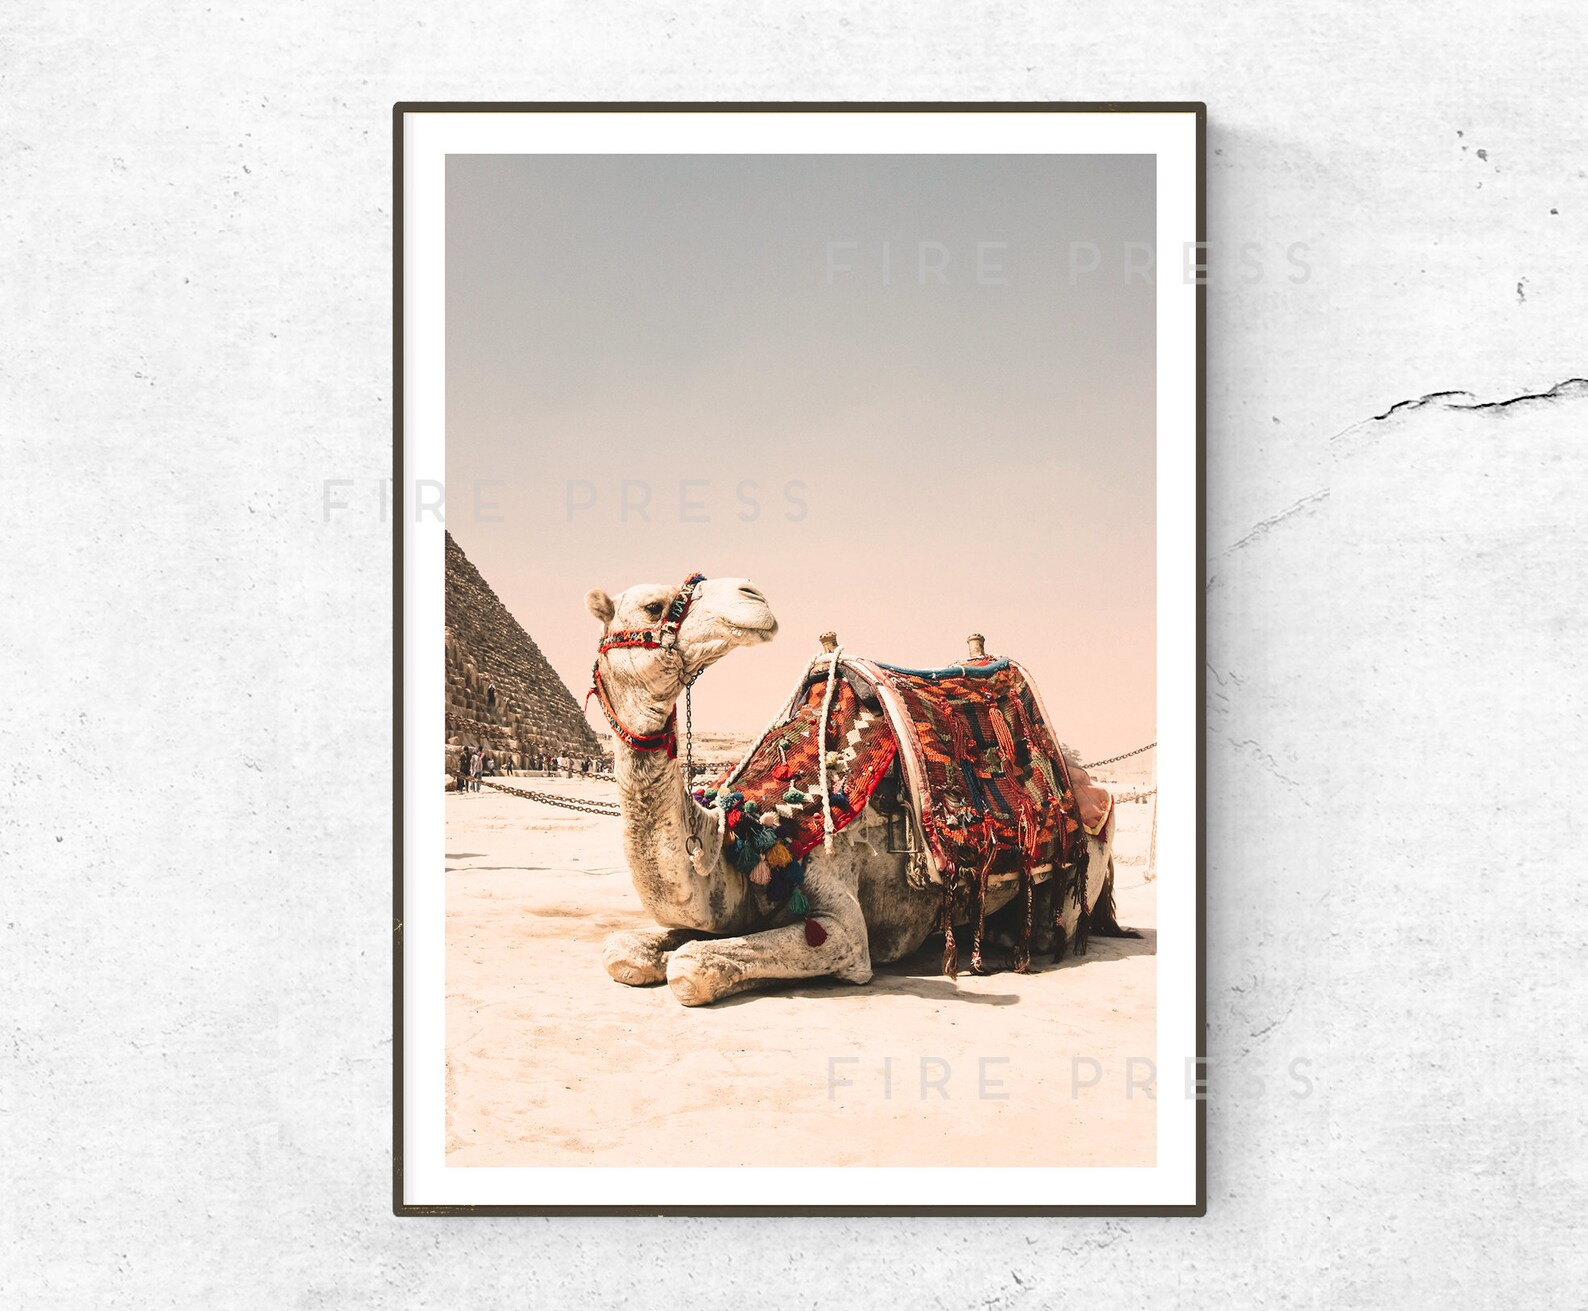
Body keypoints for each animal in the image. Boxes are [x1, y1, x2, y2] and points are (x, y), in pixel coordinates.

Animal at [586, 573, 1130, 1006]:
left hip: (1083, 863)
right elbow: (624, 950)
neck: (754, 835)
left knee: (1053, 928)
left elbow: (691, 966)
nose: (751, 594)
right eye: (653, 606)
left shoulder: (845, 928)